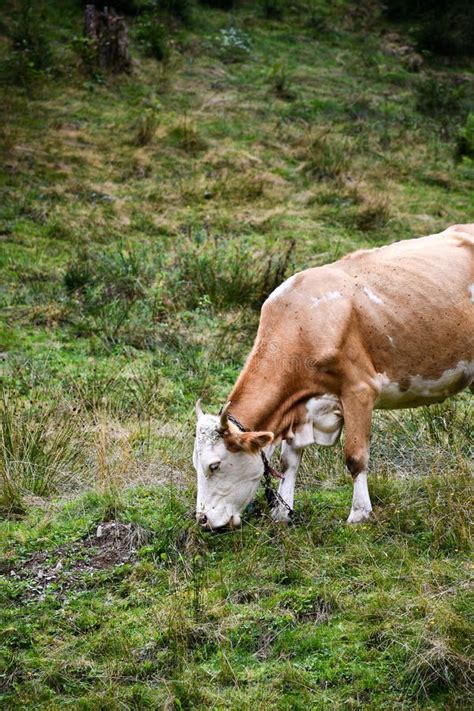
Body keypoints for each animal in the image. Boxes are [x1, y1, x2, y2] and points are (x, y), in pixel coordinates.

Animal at [193, 224, 474, 530]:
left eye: (215, 465)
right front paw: (281, 512)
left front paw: (359, 513)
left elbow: (355, 457)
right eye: (195, 464)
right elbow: (289, 461)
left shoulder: (359, 390)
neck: (302, 323)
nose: (202, 519)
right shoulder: (302, 409)